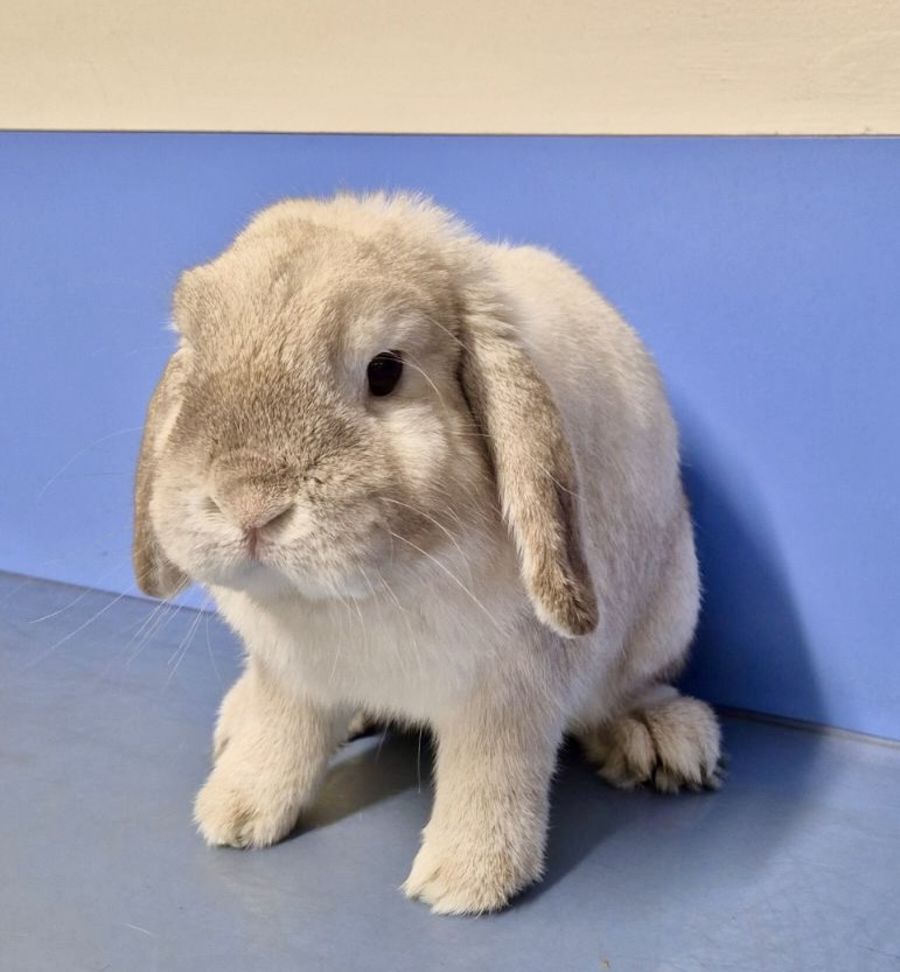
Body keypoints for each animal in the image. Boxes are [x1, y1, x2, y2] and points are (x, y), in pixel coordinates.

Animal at [133, 191, 722, 915]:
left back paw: (659, 740)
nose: (248, 502)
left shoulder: (511, 697)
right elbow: (280, 737)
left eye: (386, 370)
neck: (368, 594)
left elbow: (490, 775)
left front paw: (466, 881)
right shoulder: (291, 676)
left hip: (668, 613)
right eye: (194, 359)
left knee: (628, 688)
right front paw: (234, 813)